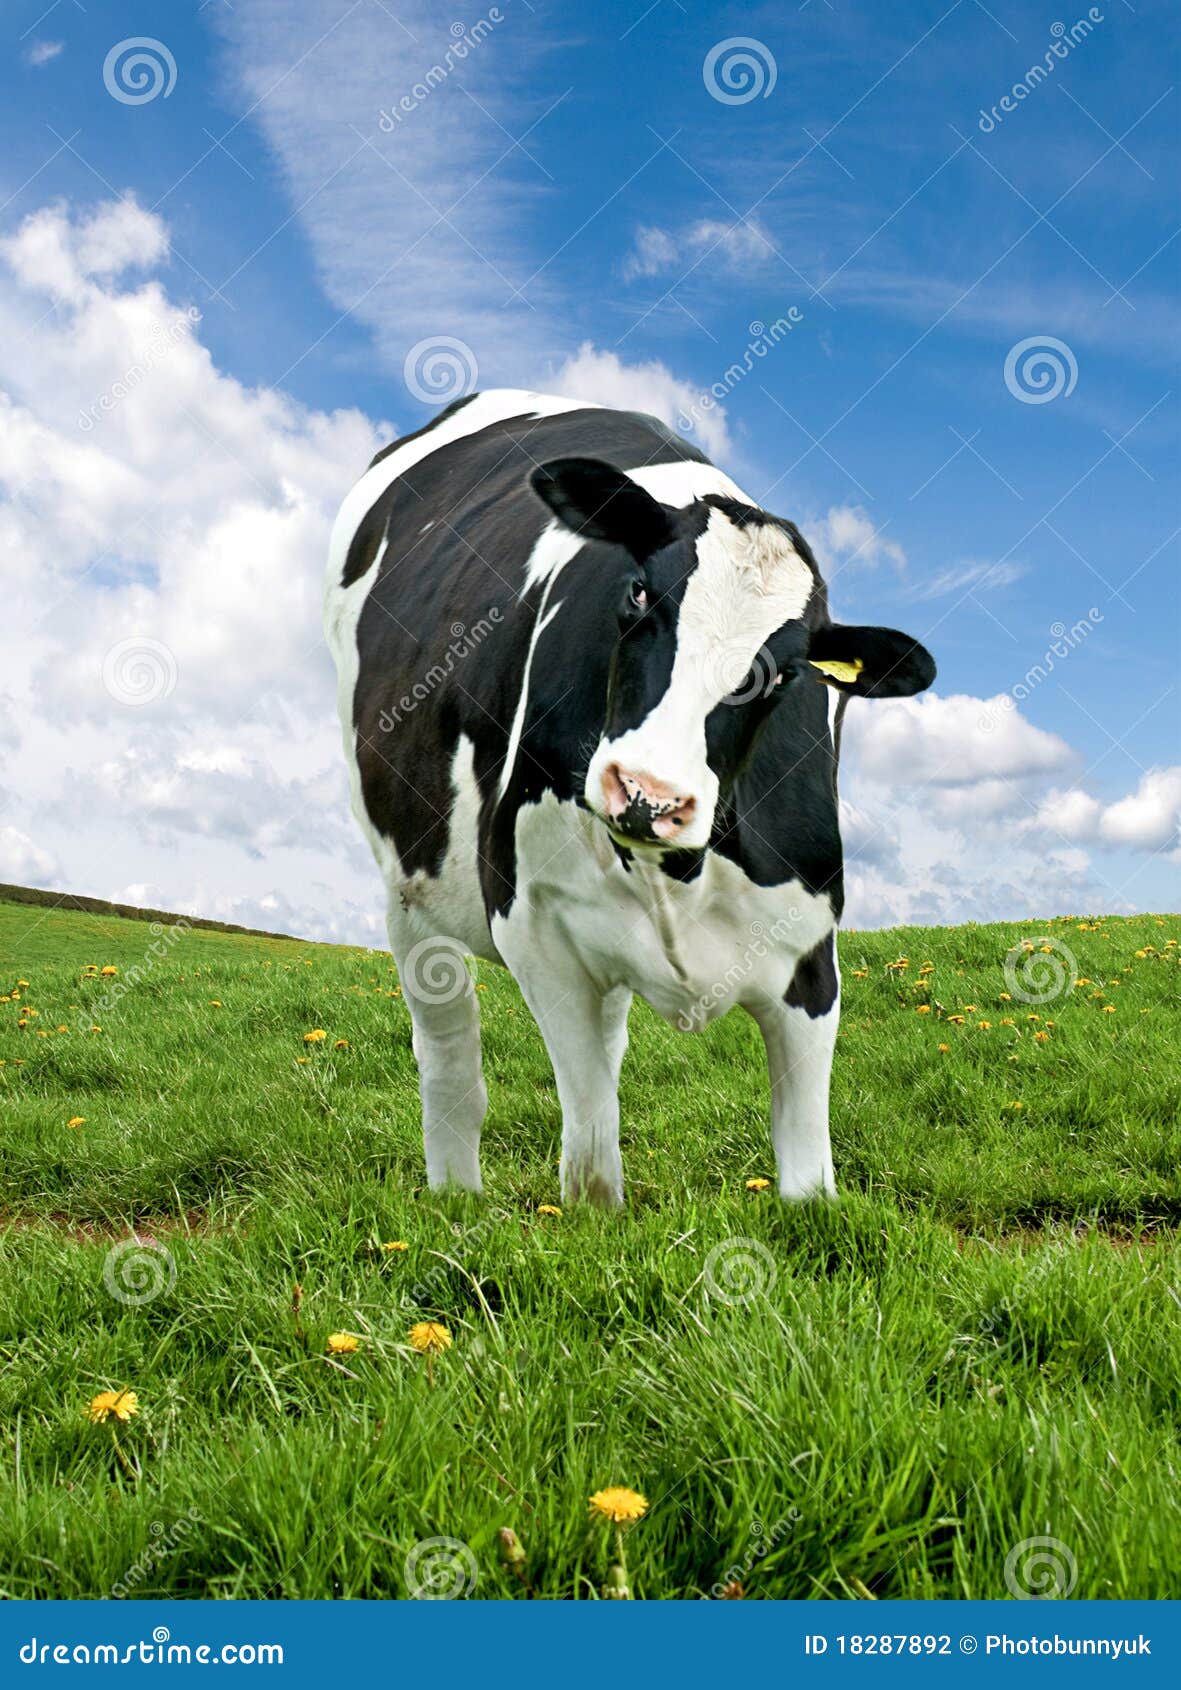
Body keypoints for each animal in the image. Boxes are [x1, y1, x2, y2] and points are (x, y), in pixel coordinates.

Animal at [325, 390, 935, 1206]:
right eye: (641, 594)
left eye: (782, 671)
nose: (649, 794)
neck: (678, 872)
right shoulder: (540, 934)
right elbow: (589, 1168)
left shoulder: (809, 952)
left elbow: (808, 1177)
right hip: (410, 893)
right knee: (449, 1054)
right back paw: (456, 1193)